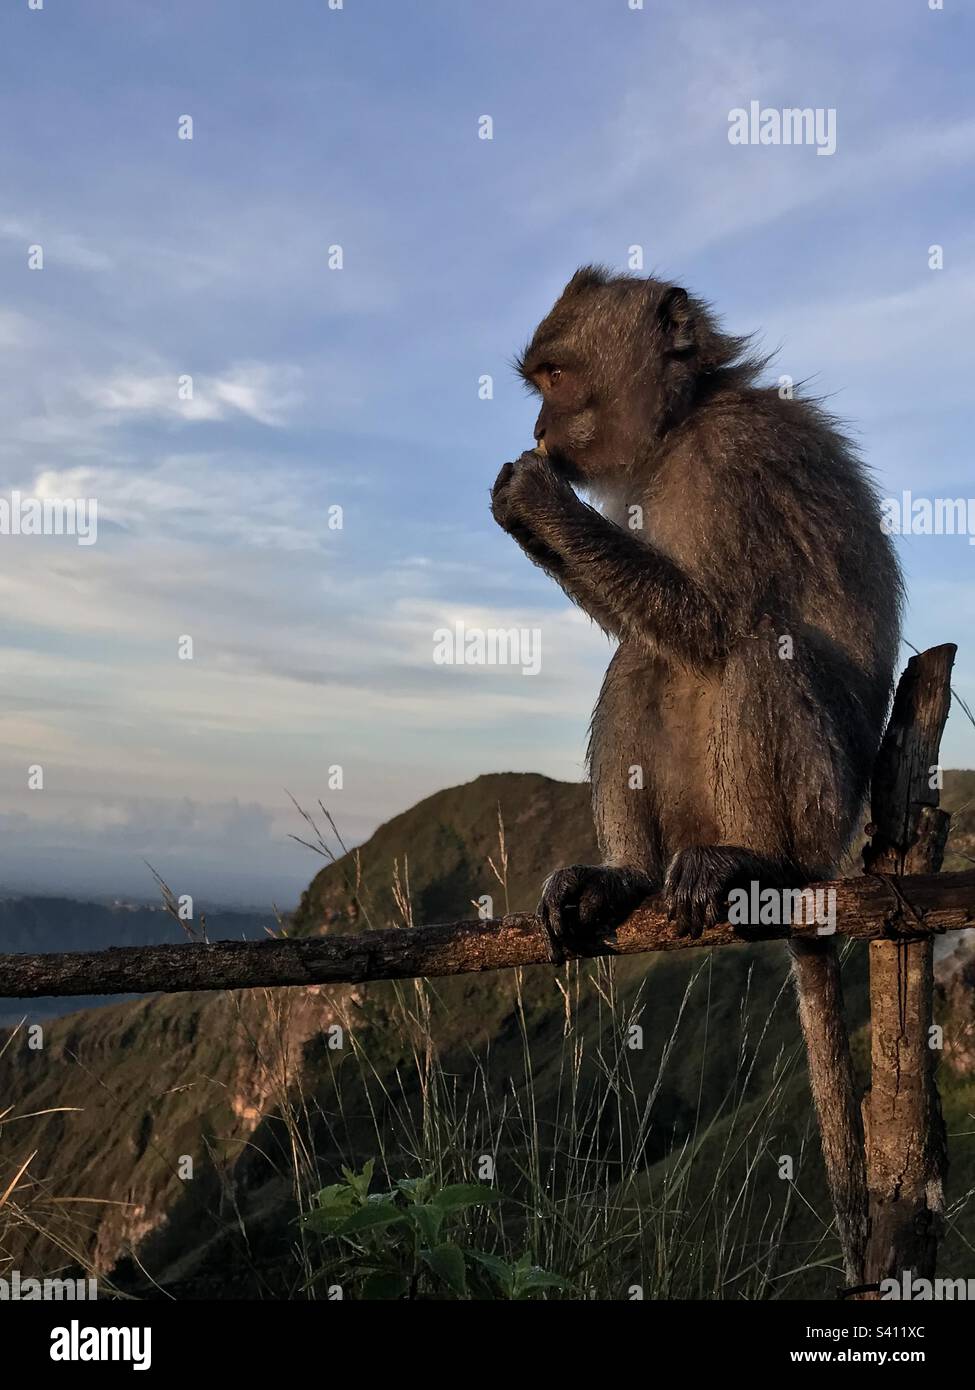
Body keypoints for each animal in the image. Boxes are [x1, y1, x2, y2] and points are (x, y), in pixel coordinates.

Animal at [490, 266, 902, 1283]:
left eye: (556, 375)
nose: (537, 433)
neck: (685, 423)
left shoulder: (736, 462)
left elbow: (716, 620)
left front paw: (534, 498)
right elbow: (650, 636)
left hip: (820, 812)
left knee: (755, 645)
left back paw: (754, 863)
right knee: (639, 659)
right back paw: (627, 877)